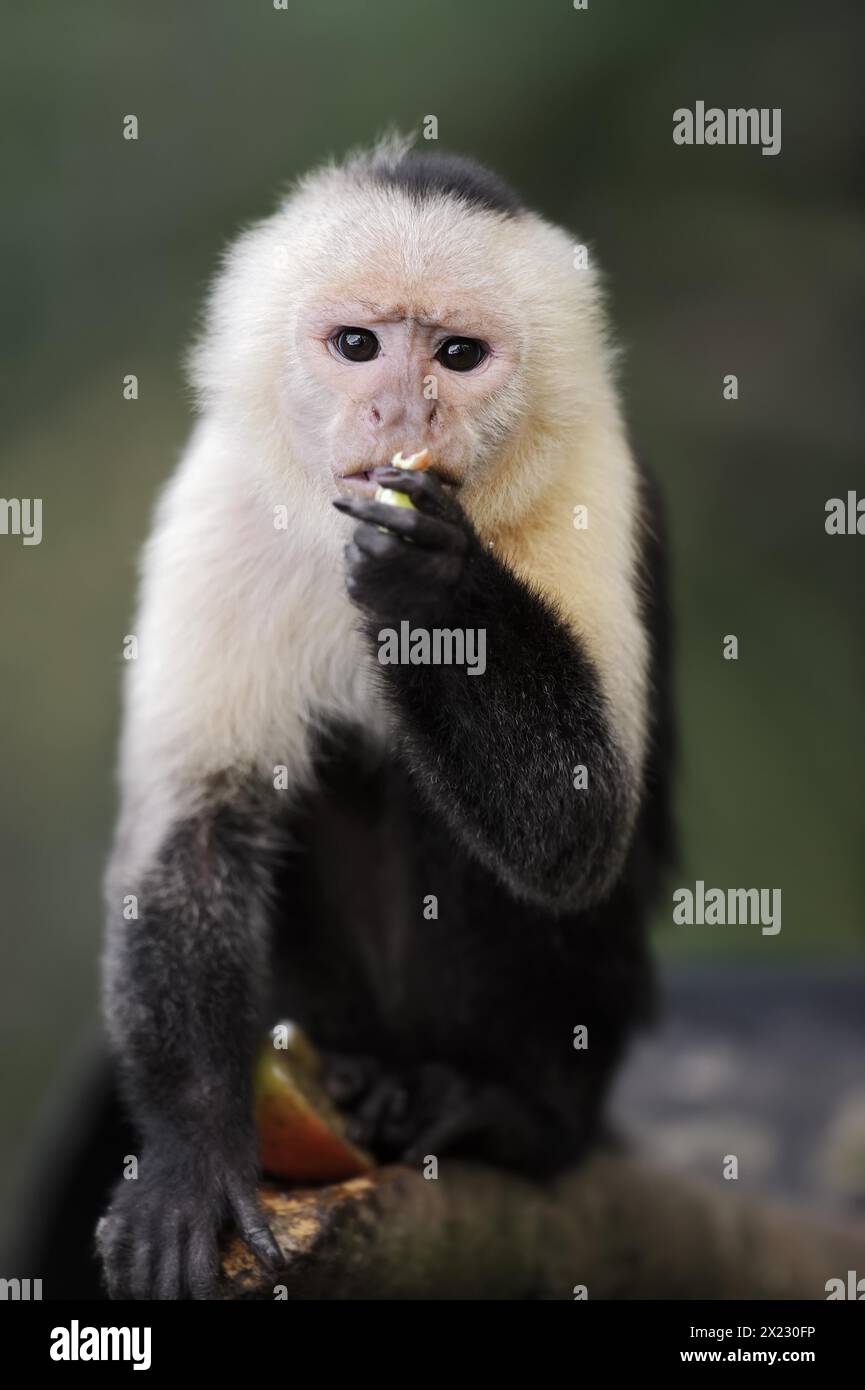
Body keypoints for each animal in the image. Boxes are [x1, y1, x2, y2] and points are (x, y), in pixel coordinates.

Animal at [92, 138, 675, 1300]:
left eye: (458, 354)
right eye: (357, 346)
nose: (403, 418)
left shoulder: (588, 474)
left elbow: (578, 827)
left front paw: (428, 587)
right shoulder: (218, 496)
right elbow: (197, 832)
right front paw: (190, 1157)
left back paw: (510, 1109)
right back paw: (360, 1074)